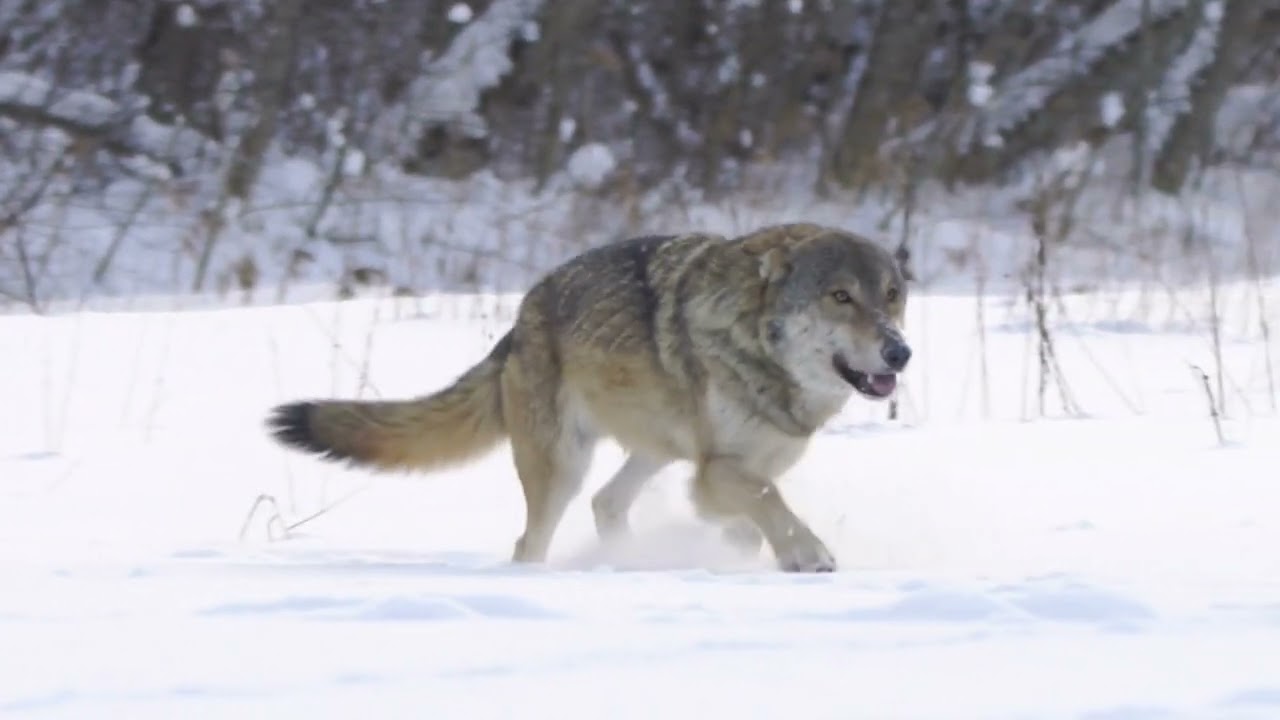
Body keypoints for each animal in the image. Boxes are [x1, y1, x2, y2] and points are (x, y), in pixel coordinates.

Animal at [265, 222, 911, 572]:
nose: (900, 353)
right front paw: (809, 556)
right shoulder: (718, 469)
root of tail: (520, 319)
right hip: (563, 468)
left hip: (654, 451)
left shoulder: (740, 466)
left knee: (606, 503)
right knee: (532, 540)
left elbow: (752, 519)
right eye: (840, 297)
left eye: (892, 295)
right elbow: (768, 503)